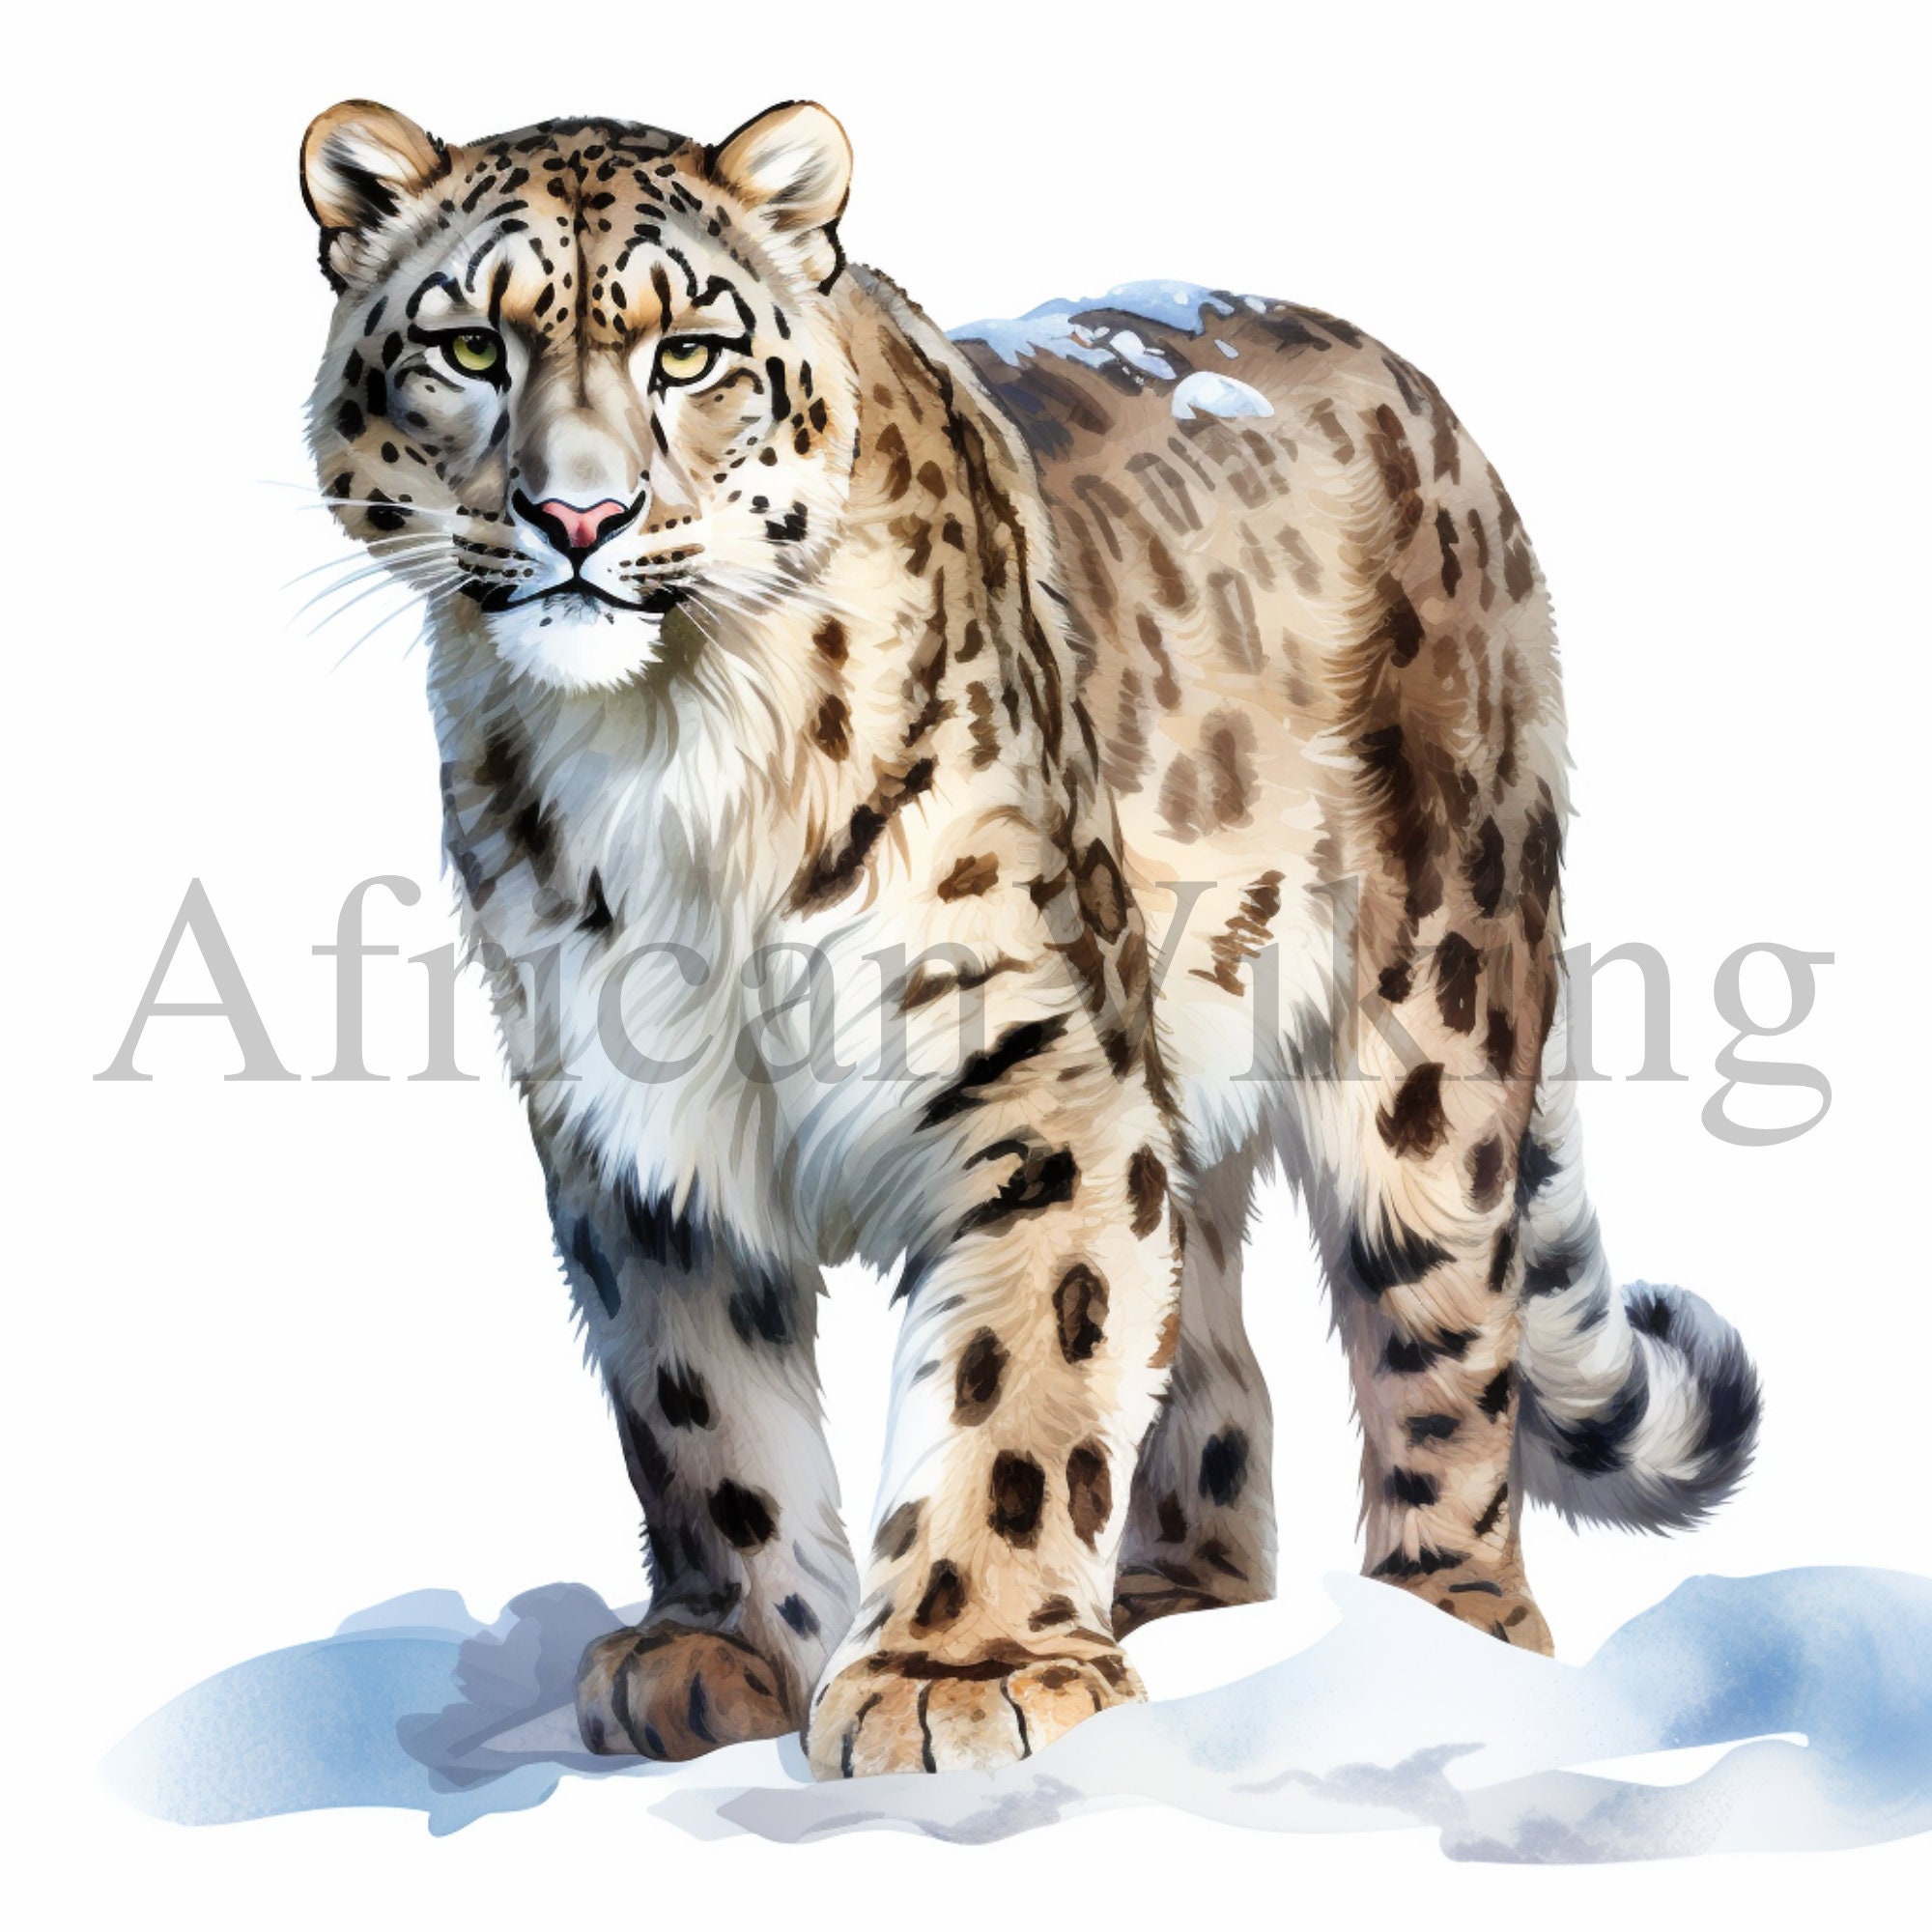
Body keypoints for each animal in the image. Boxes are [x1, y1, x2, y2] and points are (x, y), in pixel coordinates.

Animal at [298, 98, 1761, 1779]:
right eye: (470, 346)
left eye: (689, 354)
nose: (577, 514)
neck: (671, 754)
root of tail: (1420, 399)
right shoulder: (634, 1123)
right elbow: (699, 1407)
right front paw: (725, 1655)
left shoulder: (1039, 1071)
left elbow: (1024, 1381)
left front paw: (959, 1674)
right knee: (1217, 1355)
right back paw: (1183, 1607)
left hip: (1432, 1010)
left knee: (1443, 1327)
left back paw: (1442, 1638)